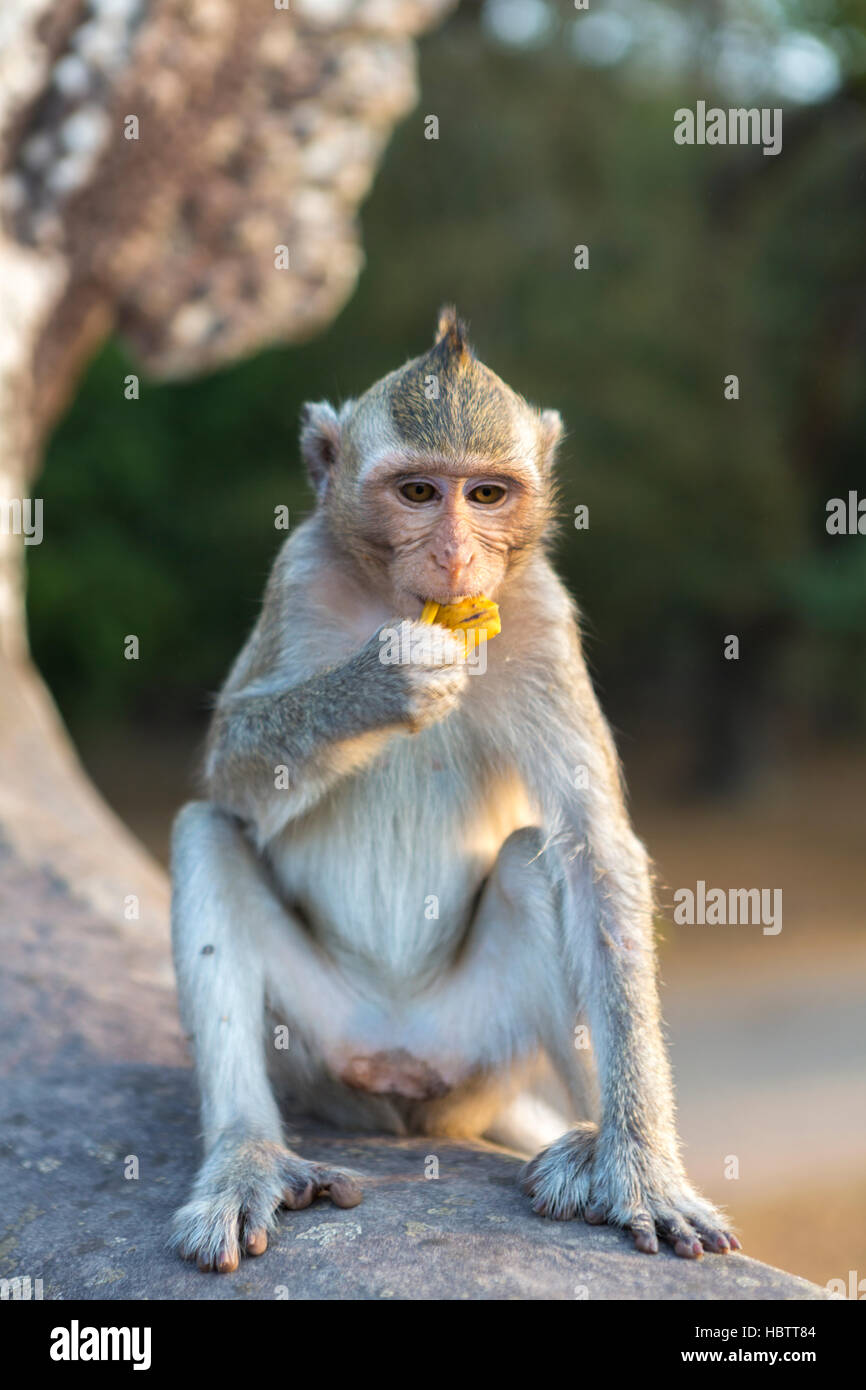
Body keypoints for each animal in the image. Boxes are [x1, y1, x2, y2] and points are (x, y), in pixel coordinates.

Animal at [169, 306, 740, 1273]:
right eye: (417, 493)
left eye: (486, 496)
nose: (455, 553)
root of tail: (401, 1062)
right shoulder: (298, 573)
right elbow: (234, 779)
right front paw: (379, 682)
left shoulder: (539, 611)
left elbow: (592, 845)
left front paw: (644, 1168)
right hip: (319, 1054)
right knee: (206, 831)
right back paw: (248, 1155)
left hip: (479, 1052)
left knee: (536, 859)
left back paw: (594, 1147)